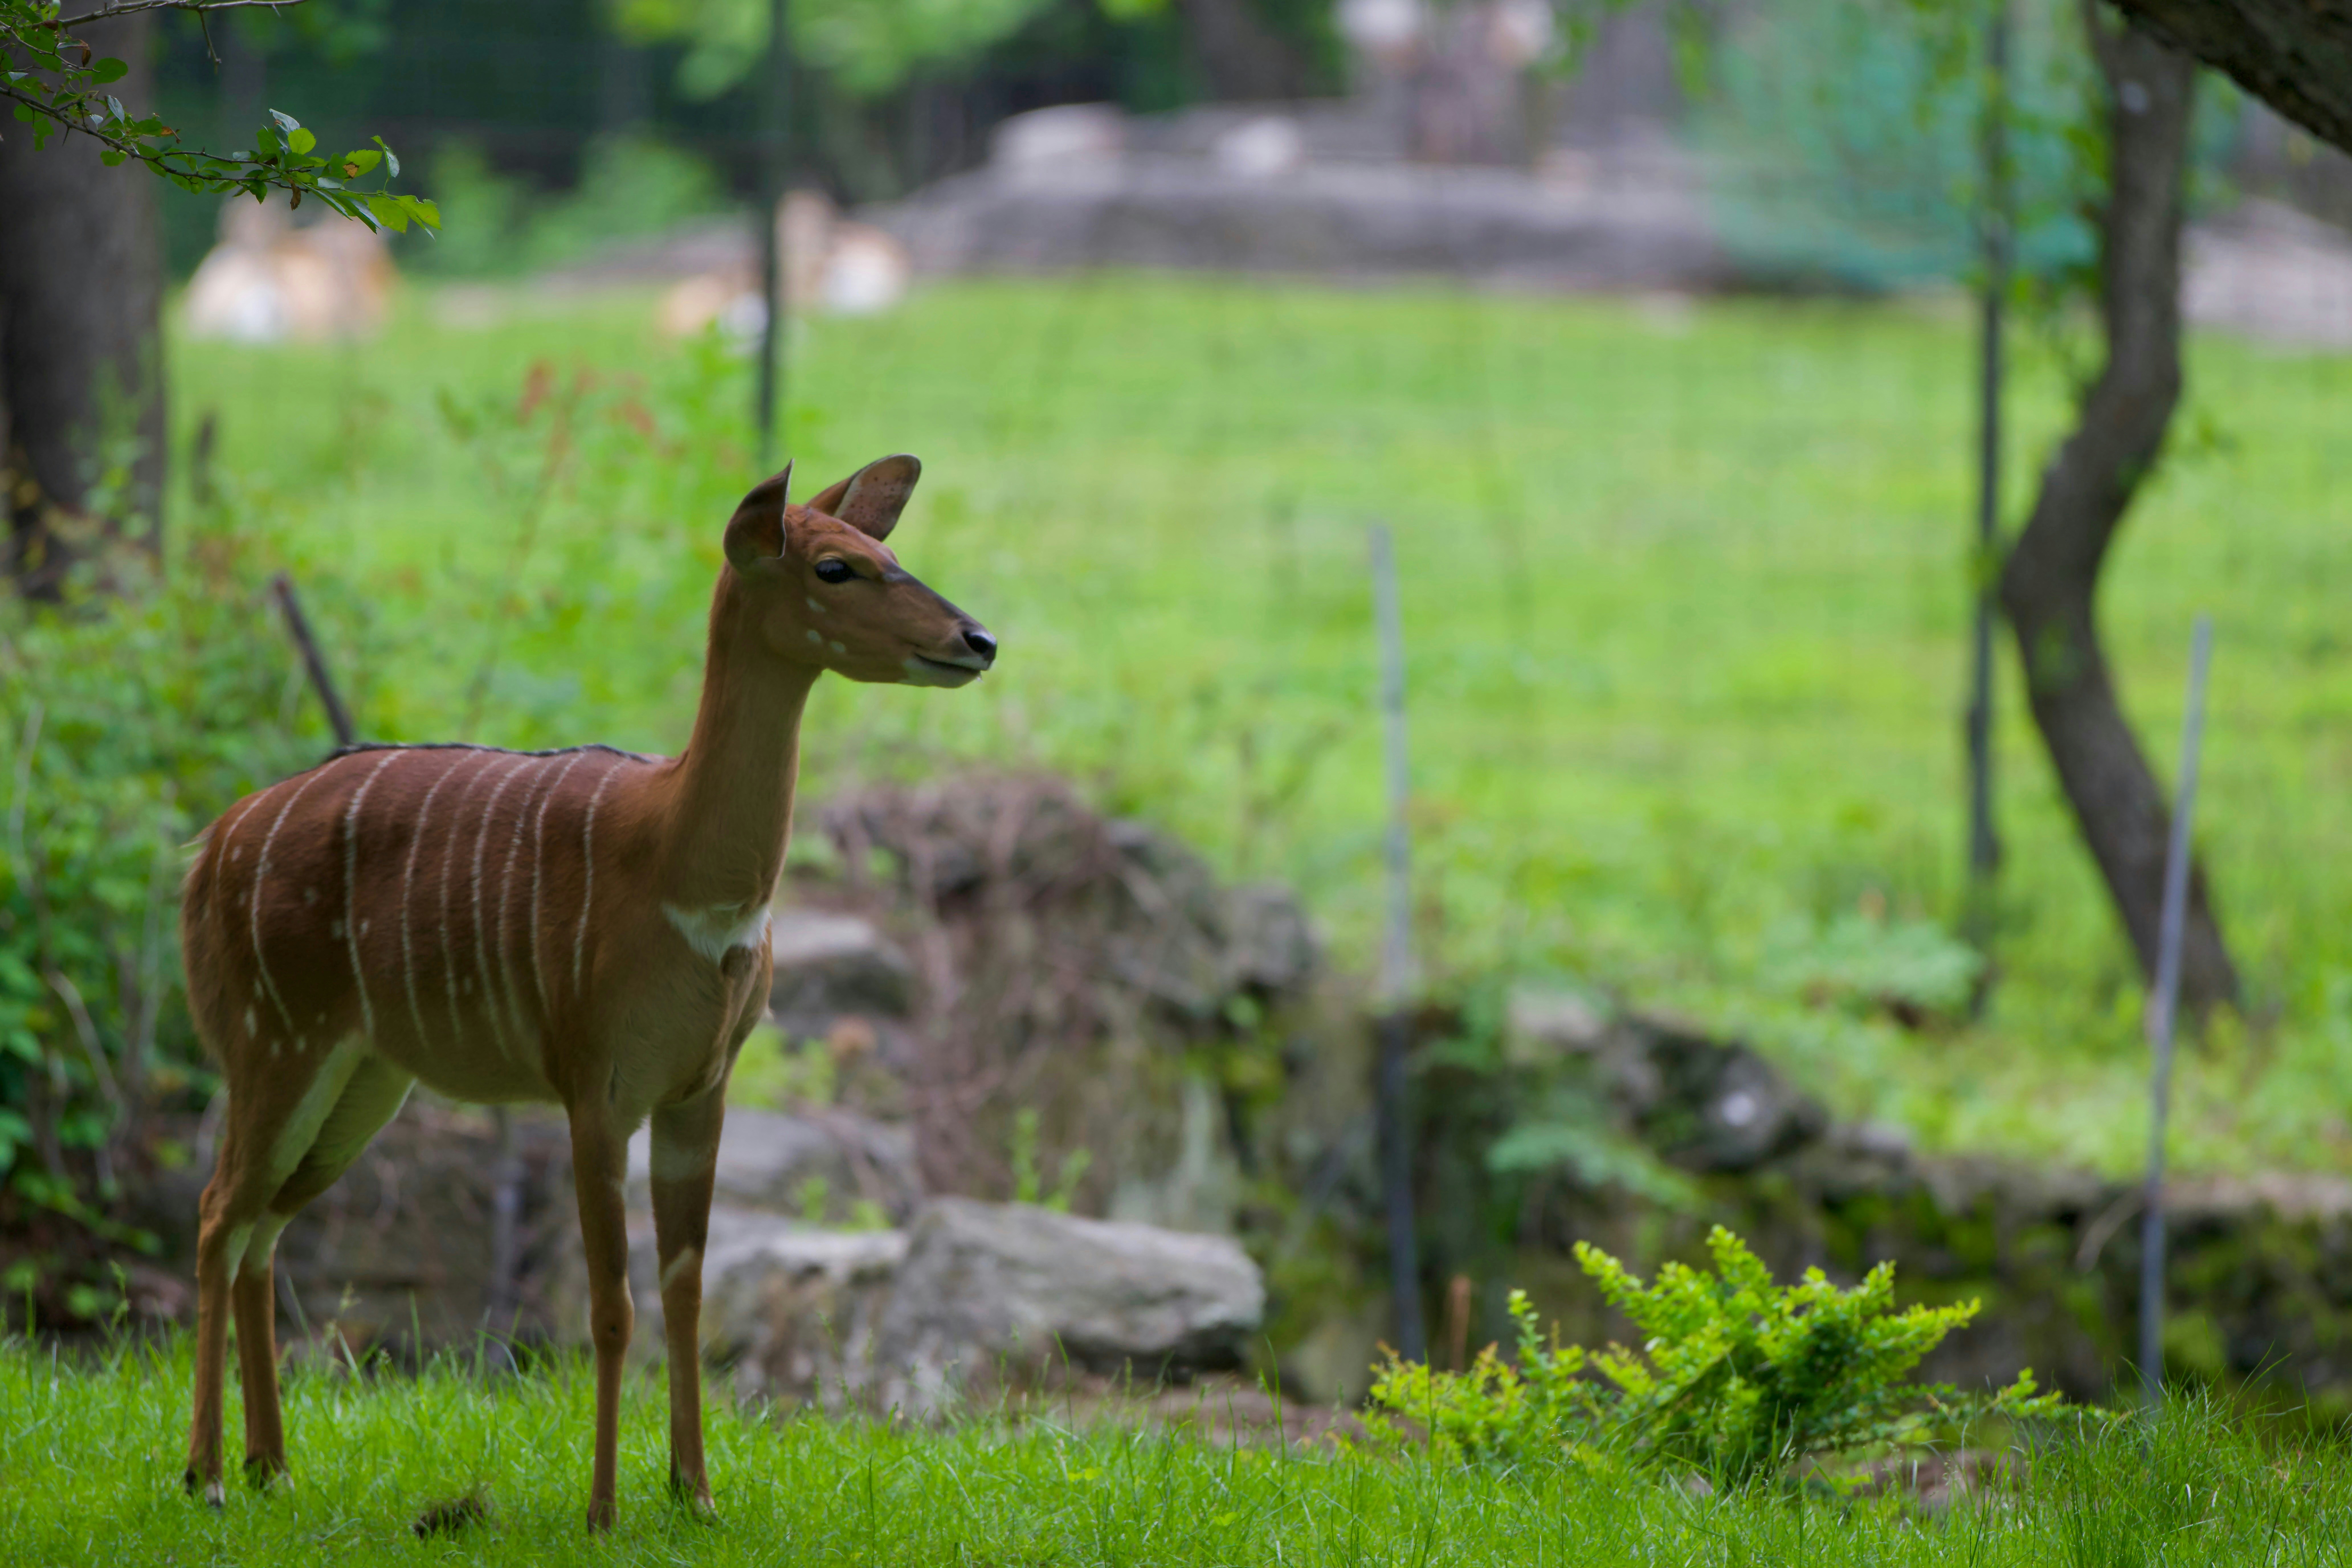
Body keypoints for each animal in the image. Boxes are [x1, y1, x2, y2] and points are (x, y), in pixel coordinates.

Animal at [176, 455, 994, 1529]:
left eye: (886, 549)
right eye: (835, 567)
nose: (977, 640)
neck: (684, 867)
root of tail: (208, 848)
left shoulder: (701, 1088)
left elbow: (686, 1287)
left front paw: (697, 1494)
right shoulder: (595, 1082)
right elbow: (610, 1303)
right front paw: (604, 1509)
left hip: (360, 1078)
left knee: (264, 1226)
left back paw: (273, 1467)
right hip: (274, 1041)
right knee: (217, 1211)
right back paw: (206, 1474)